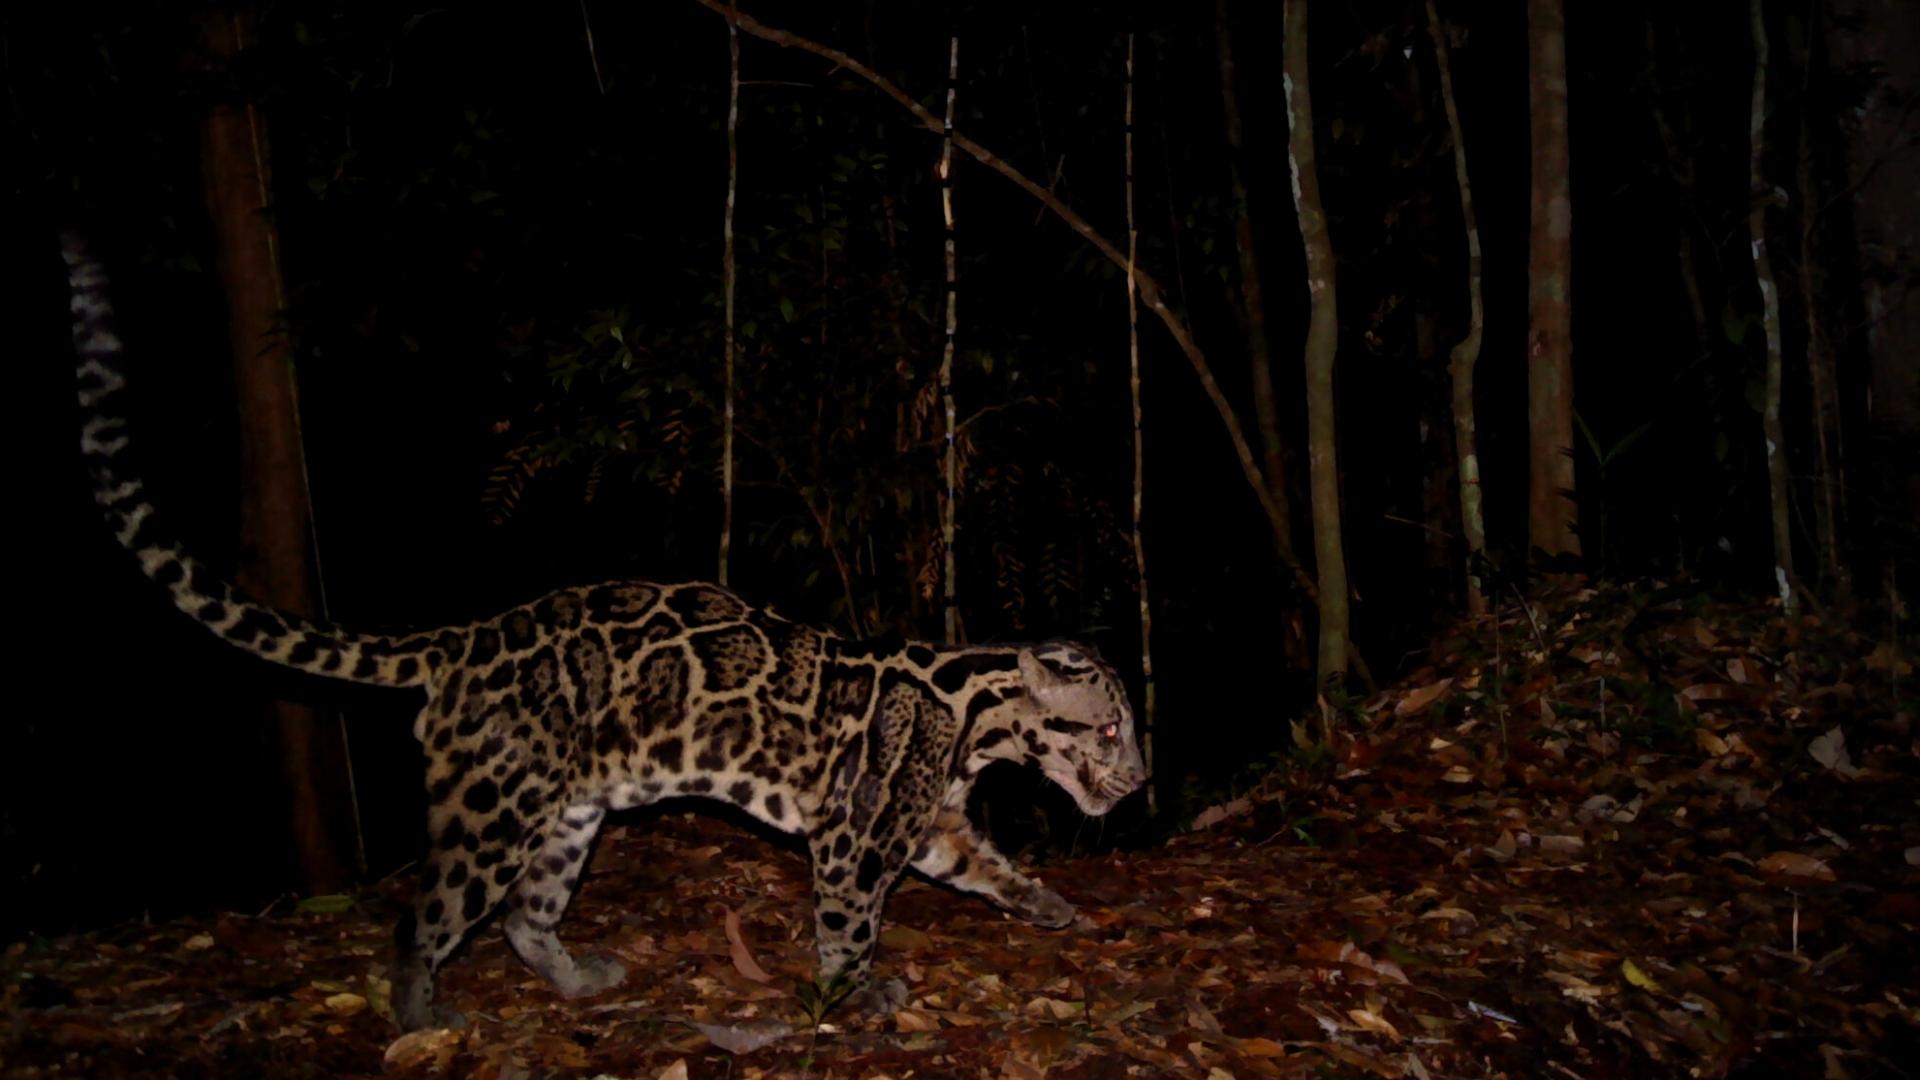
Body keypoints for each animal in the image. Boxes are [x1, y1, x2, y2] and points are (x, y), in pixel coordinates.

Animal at [63, 233, 1148, 1031]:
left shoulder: (929, 827)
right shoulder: (857, 830)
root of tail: (463, 638)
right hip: (493, 808)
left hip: (568, 812)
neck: (975, 712)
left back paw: (575, 978)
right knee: (427, 915)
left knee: (522, 917)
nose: (1137, 780)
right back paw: (419, 1021)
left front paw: (1052, 907)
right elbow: (848, 921)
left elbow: (993, 870)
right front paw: (852, 990)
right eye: (1107, 728)